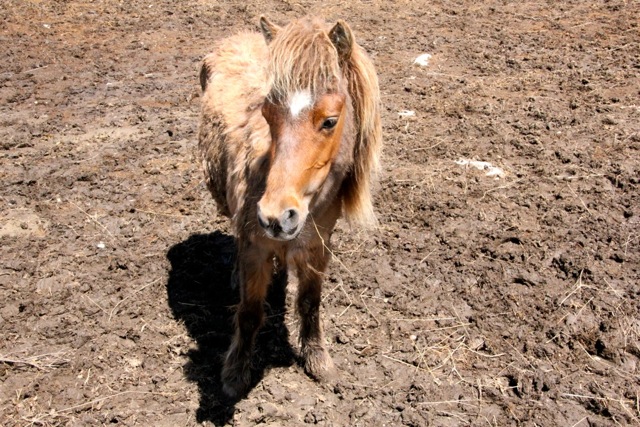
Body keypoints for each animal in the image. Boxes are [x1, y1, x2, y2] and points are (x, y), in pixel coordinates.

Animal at [198, 15, 382, 398]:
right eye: (267, 113)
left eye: (330, 120)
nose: (275, 216)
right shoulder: (255, 248)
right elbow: (250, 311)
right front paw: (235, 373)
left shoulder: (317, 246)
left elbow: (310, 303)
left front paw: (318, 360)